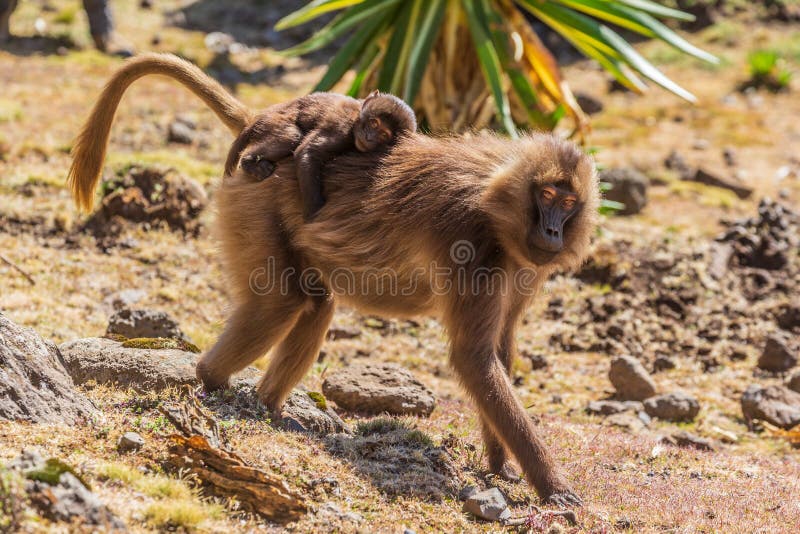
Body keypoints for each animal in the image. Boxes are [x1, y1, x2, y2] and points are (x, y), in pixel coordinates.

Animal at [233, 90, 417, 219]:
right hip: (276, 121)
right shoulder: (342, 128)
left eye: (384, 135)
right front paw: (313, 213)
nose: (369, 137)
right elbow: (307, 152)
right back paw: (249, 162)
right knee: (292, 137)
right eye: (374, 123)